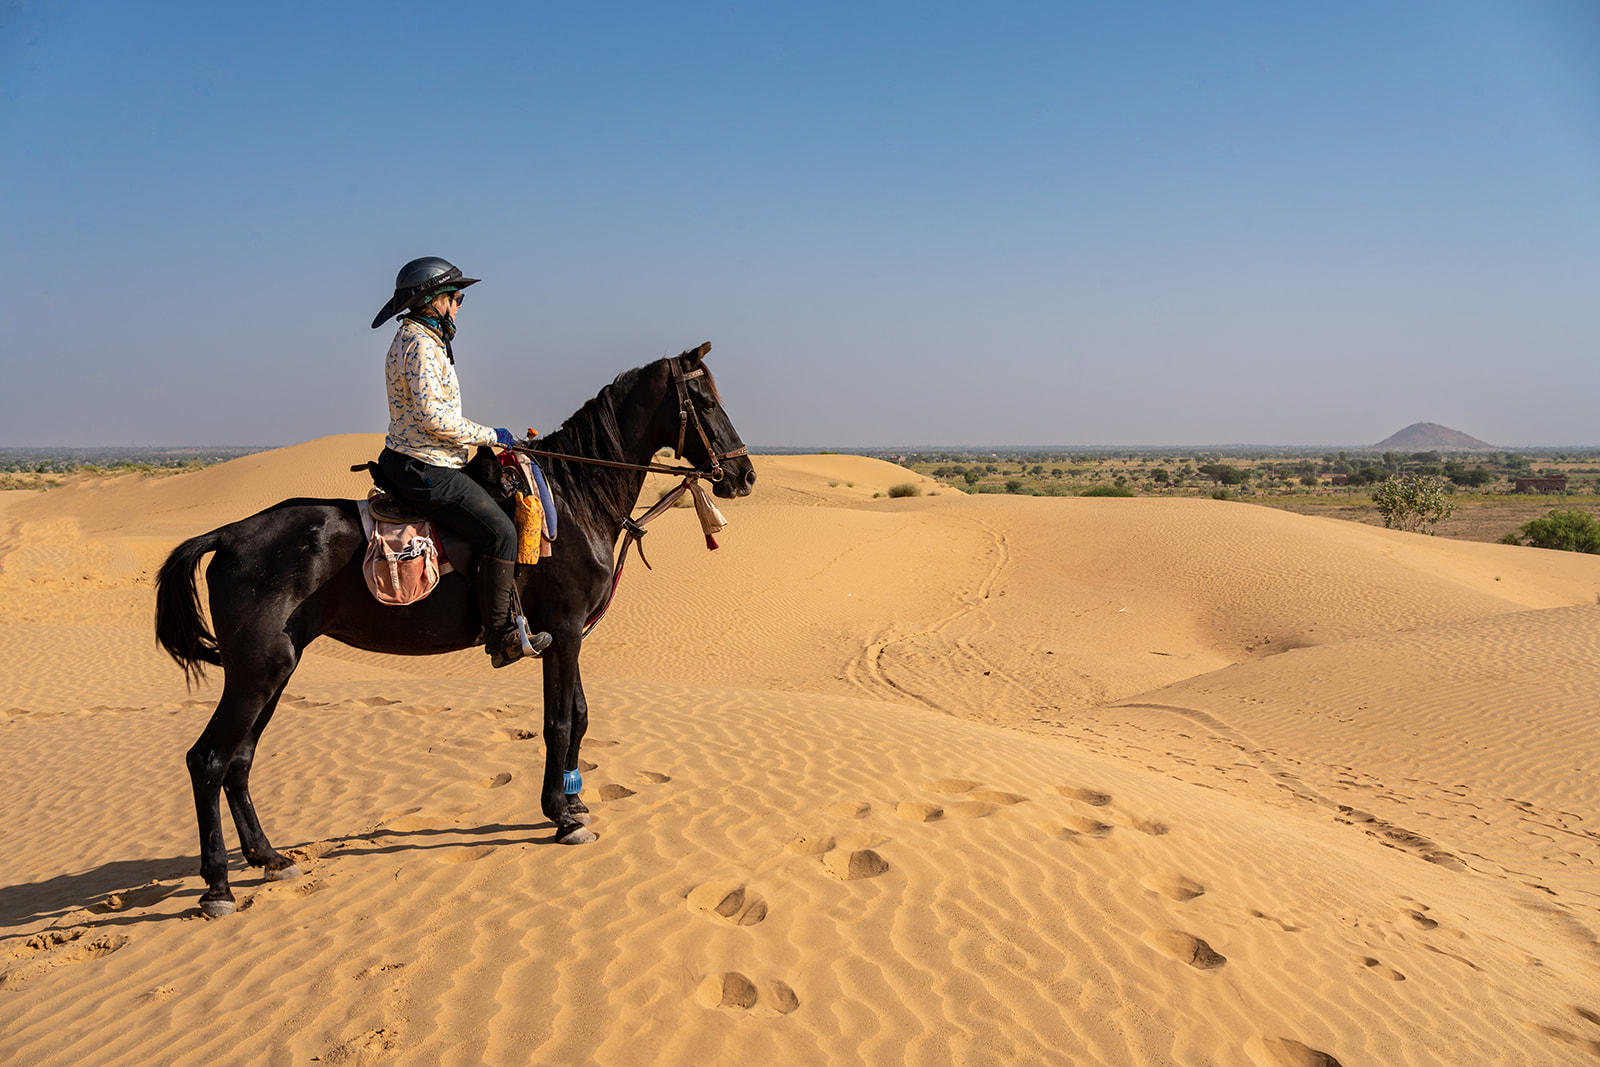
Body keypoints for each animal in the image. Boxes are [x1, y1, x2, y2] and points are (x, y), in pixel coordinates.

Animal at [155, 344, 754, 917]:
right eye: (705, 403)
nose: (745, 475)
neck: (575, 499)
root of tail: (230, 535)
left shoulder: (565, 636)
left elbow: (580, 717)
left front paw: (575, 798)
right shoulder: (563, 632)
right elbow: (559, 723)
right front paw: (562, 817)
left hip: (274, 670)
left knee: (239, 761)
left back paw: (269, 858)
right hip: (258, 670)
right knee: (208, 760)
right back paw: (217, 887)